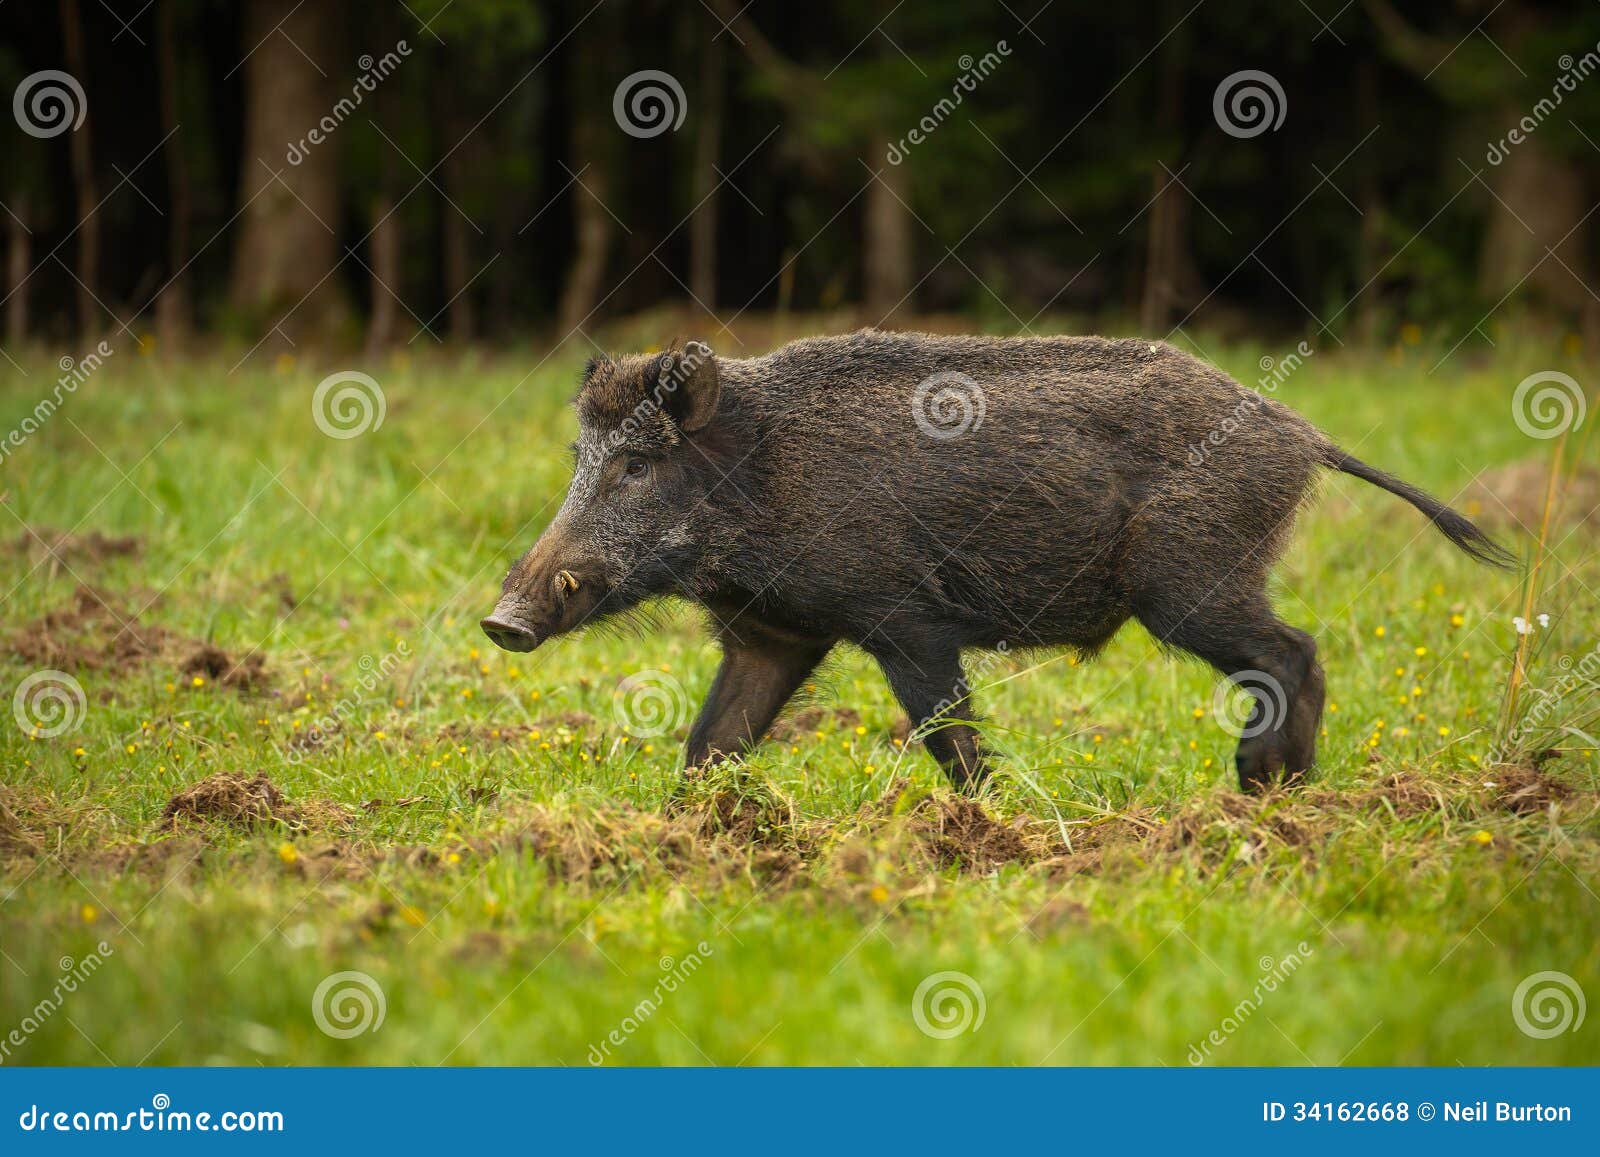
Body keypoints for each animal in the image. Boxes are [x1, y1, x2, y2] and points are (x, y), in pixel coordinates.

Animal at [483, 330, 1512, 793]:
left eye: (638, 463)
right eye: (580, 457)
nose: (502, 620)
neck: (760, 478)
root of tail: (1306, 436)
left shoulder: (905, 617)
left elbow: (950, 736)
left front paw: (982, 829)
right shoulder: (770, 636)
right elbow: (711, 743)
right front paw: (694, 830)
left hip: (1190, 580)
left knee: (1293, 650)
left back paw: (1262, 785)